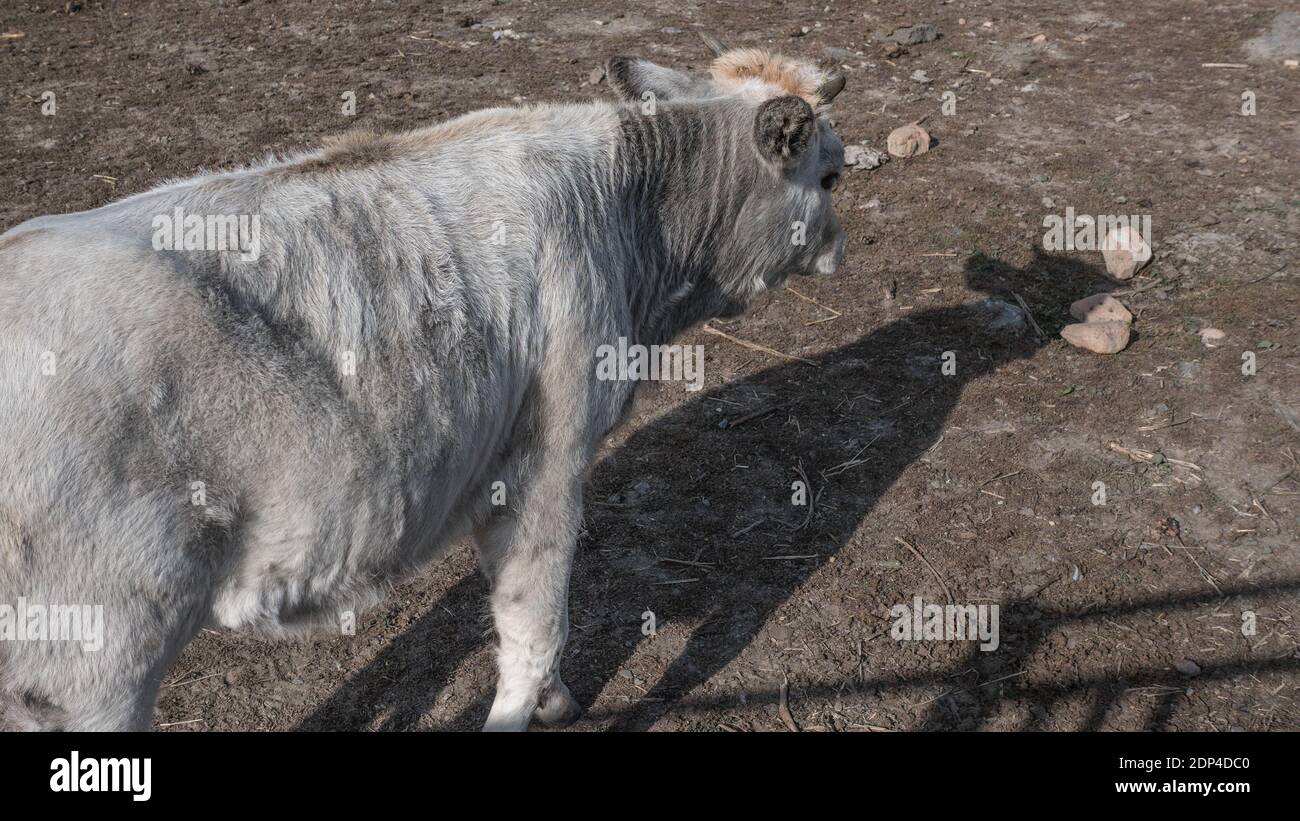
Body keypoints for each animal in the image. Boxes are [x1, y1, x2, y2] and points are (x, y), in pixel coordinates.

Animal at [0, 45, 847, 731]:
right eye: (832, 174)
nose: (841, 248)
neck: (626, 219)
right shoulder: (550, 457)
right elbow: (535, 622)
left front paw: (558, 699)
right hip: (91, 657)